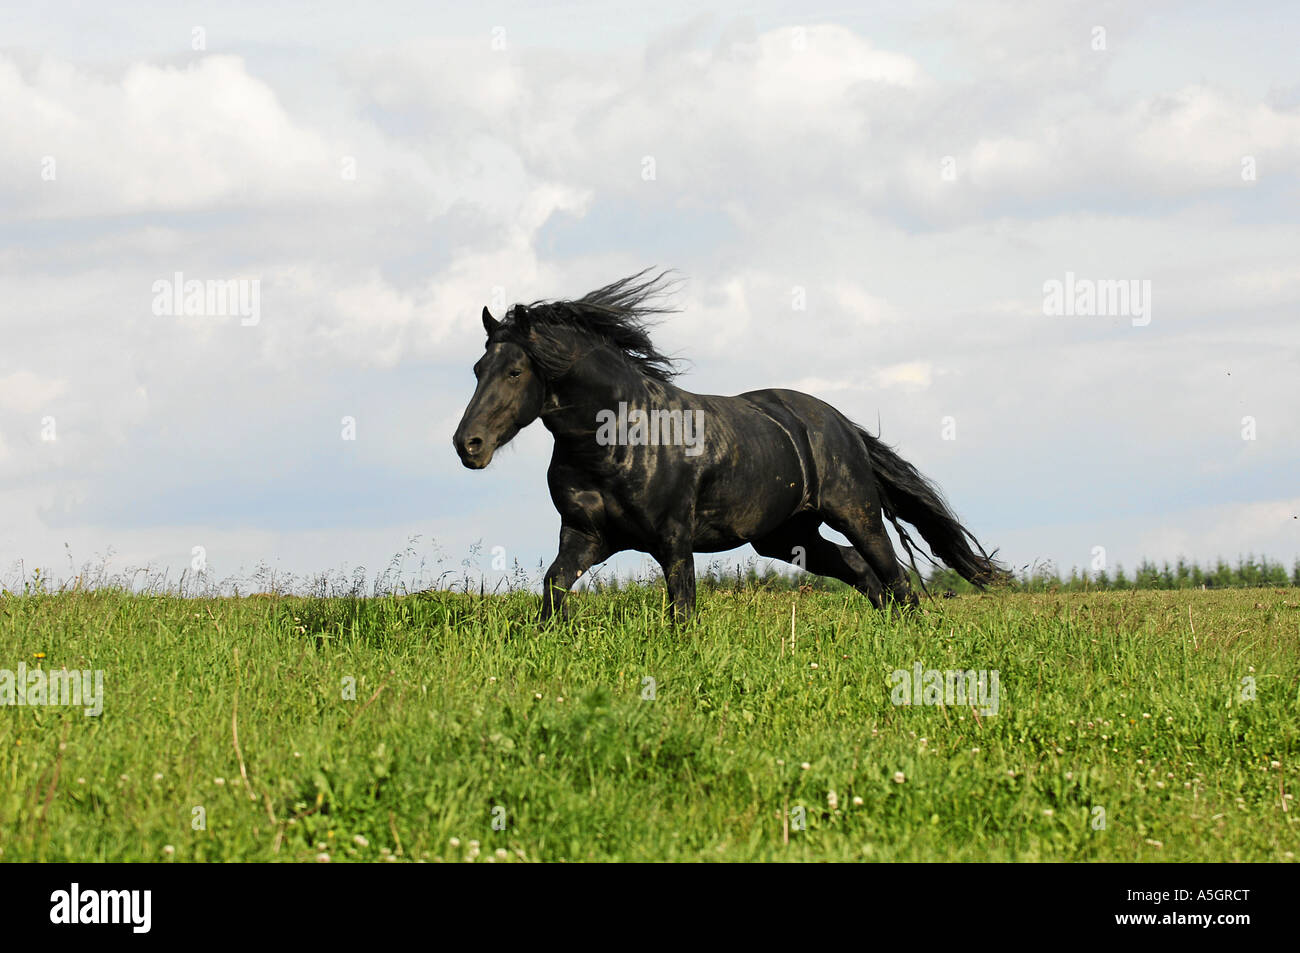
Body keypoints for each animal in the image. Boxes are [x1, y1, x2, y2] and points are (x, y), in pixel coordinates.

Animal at [453, 270, 1008, 622]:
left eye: (515, 371)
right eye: (478, 369)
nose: (467, 445)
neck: (617, 445)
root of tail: (839, 423)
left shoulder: (673, 539)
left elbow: (681, 610)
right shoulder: (584, 536)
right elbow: (552, 590)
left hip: (855, 512)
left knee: (892, 574)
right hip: (786, 536)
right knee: (857, 568)